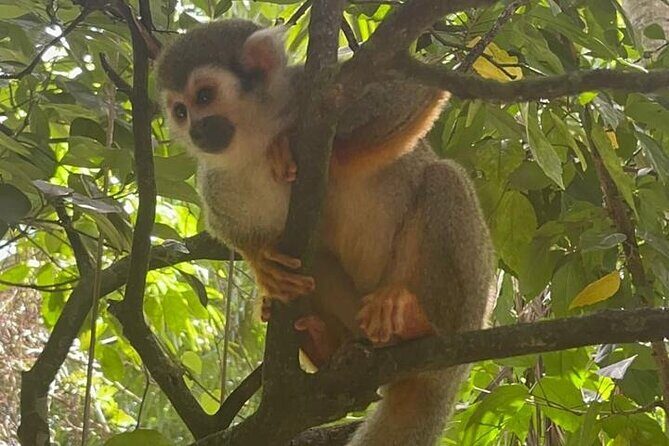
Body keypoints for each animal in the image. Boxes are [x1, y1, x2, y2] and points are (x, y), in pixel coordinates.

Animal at [156, 19, 495, 446]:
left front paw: (299, 148)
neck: (254, 137)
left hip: (468, 311)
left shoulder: (318, 90)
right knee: (313, 254)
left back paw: (421, 322)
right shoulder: (218, 179)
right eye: (180, 111)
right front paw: (262, 262)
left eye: (204, 96)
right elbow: (231, 229)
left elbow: (412, 95)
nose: (197, 132)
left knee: (443, 179)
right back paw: (323, 344)